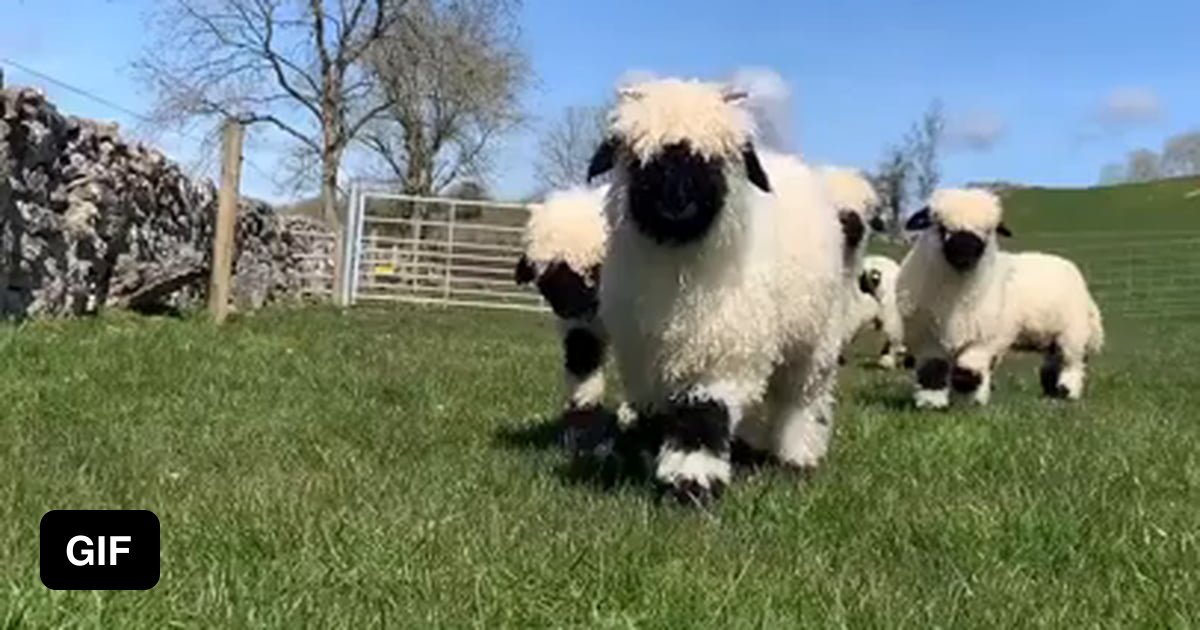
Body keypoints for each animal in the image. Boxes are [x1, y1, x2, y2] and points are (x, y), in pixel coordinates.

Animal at [586, 78, 846, 505]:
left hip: (814, 345)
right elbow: (656, 414)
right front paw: (647, 456)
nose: (676, 201)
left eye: (712, 160)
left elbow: (704, 414)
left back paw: (797, 456)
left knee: (801, 400)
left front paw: (690, 483)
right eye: (642, 158)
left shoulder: (724, 353)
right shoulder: (644, 361)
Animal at [896, 188, 1103, 409]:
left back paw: (1067, 392)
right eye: (942, 227)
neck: (956, 298)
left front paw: (969, 401)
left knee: (1072, 362)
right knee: (1053, 363)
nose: (964, 258)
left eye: (988, 231)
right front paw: (932, 404)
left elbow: (967, 373)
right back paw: (1051, 393)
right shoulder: (927, 338)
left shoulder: (984, 338)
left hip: (1073, 331)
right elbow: (932, 372)